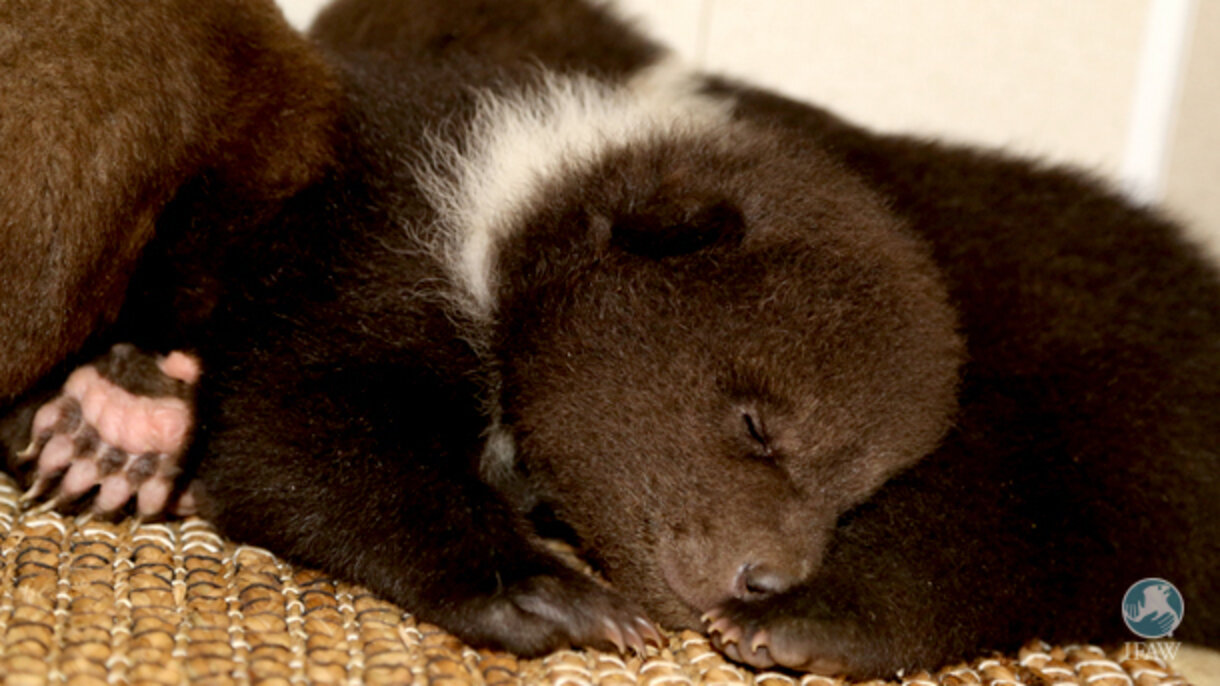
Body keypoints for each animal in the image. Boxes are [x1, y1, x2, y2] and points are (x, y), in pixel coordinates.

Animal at [3, 0, 1218, 679]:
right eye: (755, 423)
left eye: (854, 490)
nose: (769, 570)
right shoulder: (359, 265)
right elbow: (304, 437)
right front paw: (545, 590)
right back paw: (116, 418)